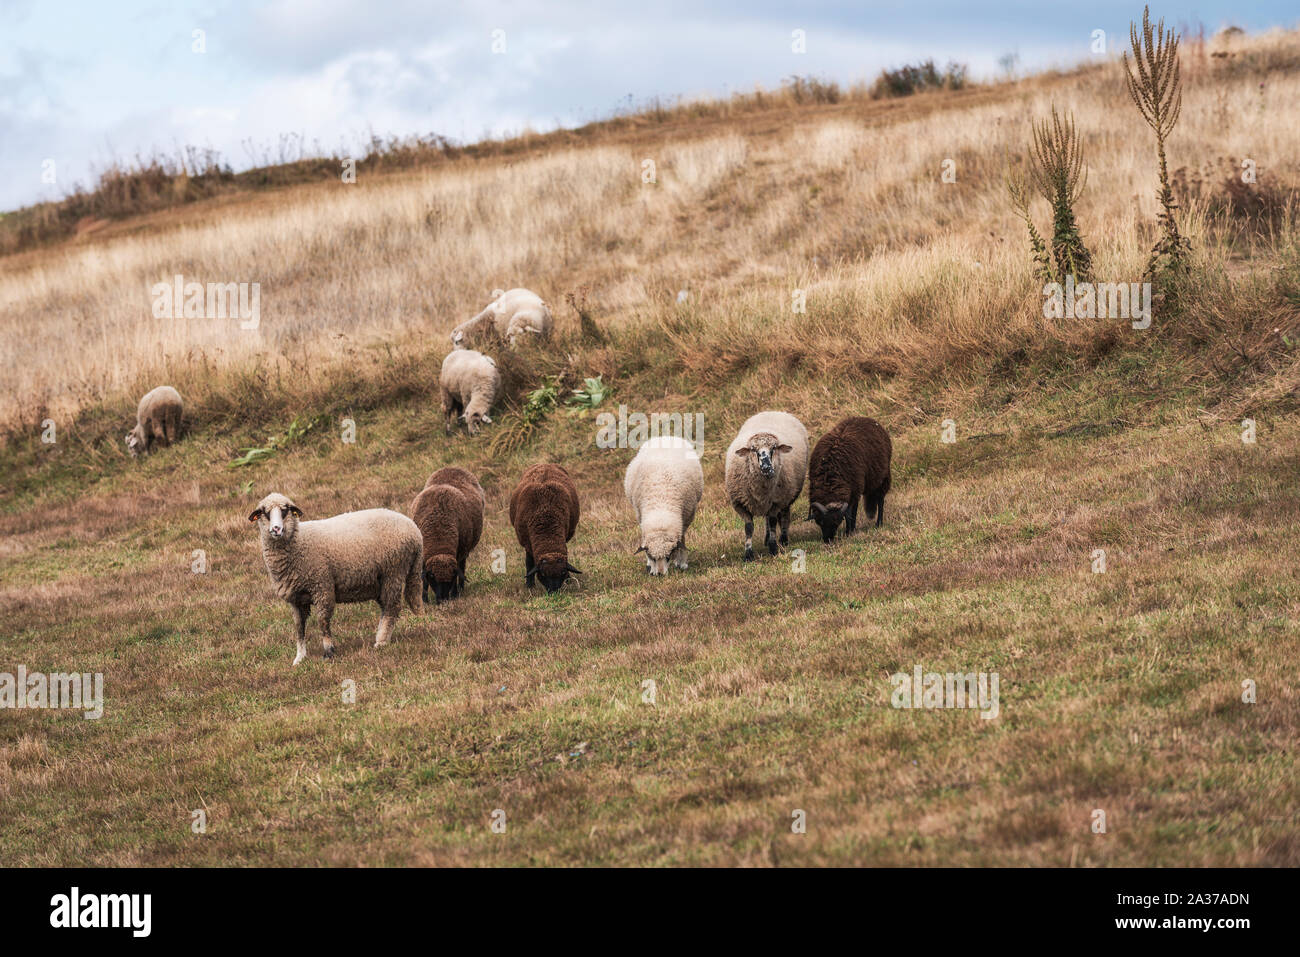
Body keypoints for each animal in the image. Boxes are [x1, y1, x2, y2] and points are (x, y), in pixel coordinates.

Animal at [248, 492, 423, 665]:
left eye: (285, 511)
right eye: (265, 513)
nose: (276, 529)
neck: (298, 542)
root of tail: (415, 530)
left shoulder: (322, 586)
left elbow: (323, 621)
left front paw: (328, 652)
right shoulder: (296, 598)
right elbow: (299, 627)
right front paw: (300, 657)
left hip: (393, 571)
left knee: (392, 607)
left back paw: (381, 641)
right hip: (381, 579)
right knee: (386, 607)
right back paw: (381, 636)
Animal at [410, 466, 485, 604]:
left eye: (451, 577)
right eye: (432, 577)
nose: (443, 600)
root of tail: (453, 467)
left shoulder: (459, 552)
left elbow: (458, 574)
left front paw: (454, 594)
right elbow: (423, 579)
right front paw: (424, 599)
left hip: (464, 549)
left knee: (462, 566)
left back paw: (461, 589)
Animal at [508, 463, 582, 593]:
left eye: (562, 572)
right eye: (543, 574)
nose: (553, 592)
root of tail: (545, 463)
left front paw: (569, 581)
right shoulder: (527, 542)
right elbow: (529, 563)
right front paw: (529, 585)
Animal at [624, 435, 703, 575]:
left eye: (668, 556)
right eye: (652, 557)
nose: (660, 574)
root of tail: (666, 436)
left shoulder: (686, 518)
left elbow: (682, 541)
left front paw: (682, 562)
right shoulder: (640, 516)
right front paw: (650, 566)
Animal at [724, 410, 810, 561]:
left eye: (774, 448)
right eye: (753, 449)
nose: (766, 467)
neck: (760, 489)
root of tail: (774, 411)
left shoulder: (776, 501)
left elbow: (774, 522)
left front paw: (773, 548)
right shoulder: (740, 504)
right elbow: (749, 528)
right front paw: (748, 554)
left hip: (787, 495)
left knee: (784, 516)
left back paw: (783, 540)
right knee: (767, 521)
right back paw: (766, 539)